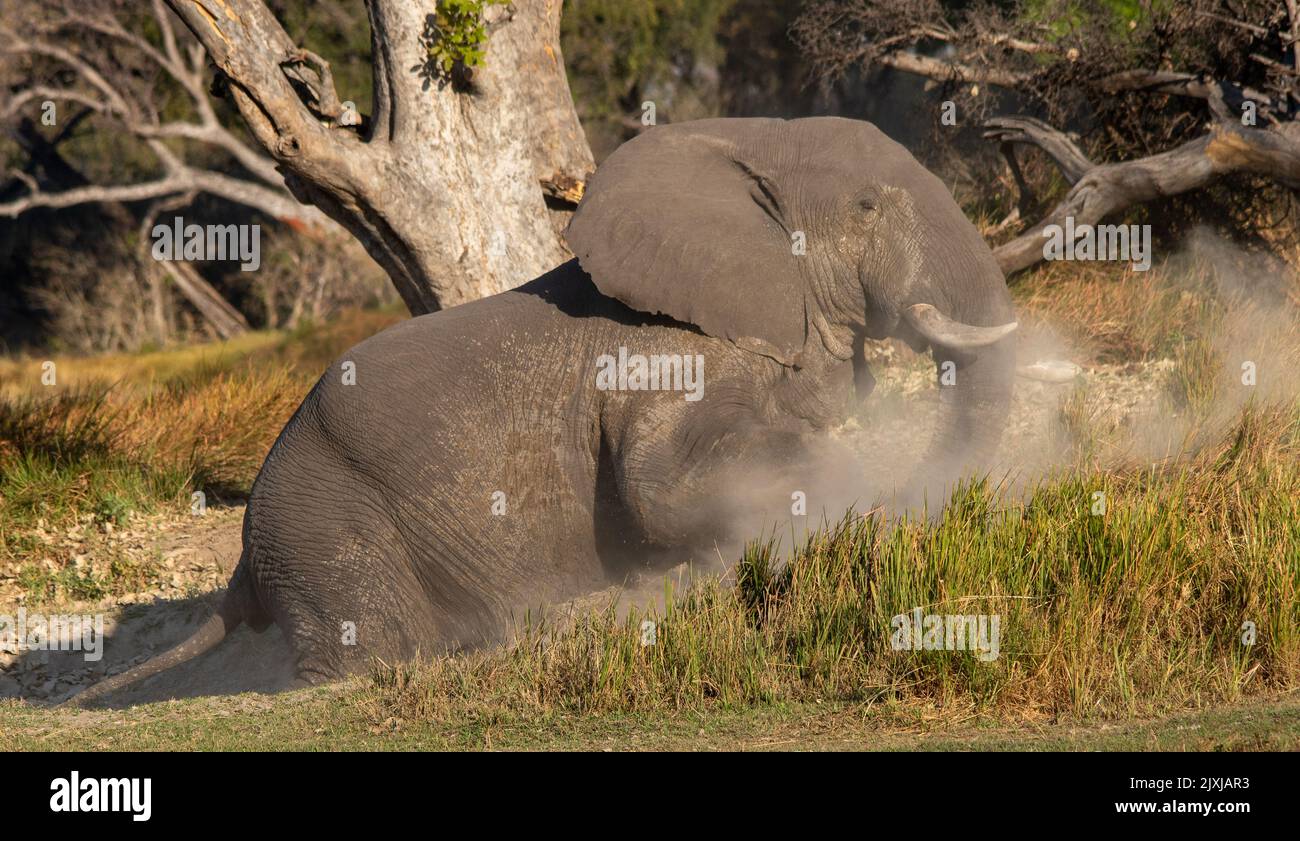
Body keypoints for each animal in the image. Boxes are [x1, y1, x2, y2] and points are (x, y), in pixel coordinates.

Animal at [70, 116, 1017, 703]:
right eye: (866, 207)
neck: (742, 151)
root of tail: (240, 552)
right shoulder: (663, 353)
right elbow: (658, 484)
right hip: (322, 522)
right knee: (369, 646)